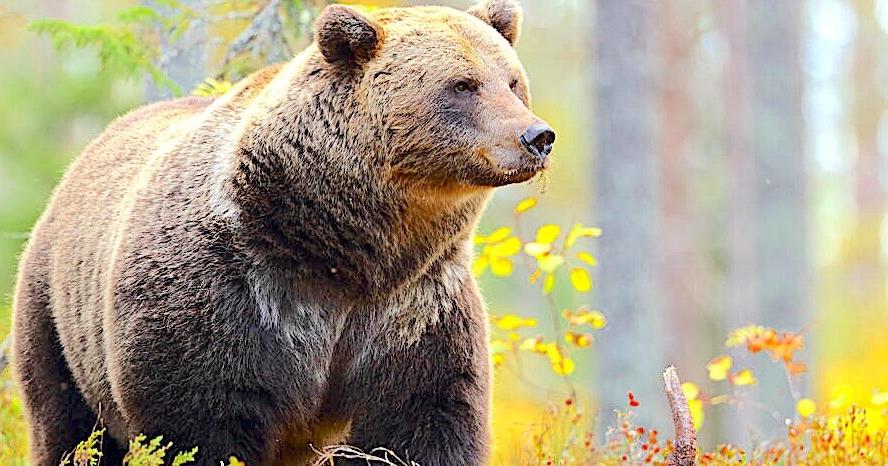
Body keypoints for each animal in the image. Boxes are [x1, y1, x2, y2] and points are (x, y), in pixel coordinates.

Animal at [11, 1, 555, 465]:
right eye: (462, 85)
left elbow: (423, 418)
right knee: (66, 423)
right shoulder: (231, 293)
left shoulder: (412, 310)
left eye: (512, 81)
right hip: (56, 318)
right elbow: (200, 419)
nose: (537, 136)